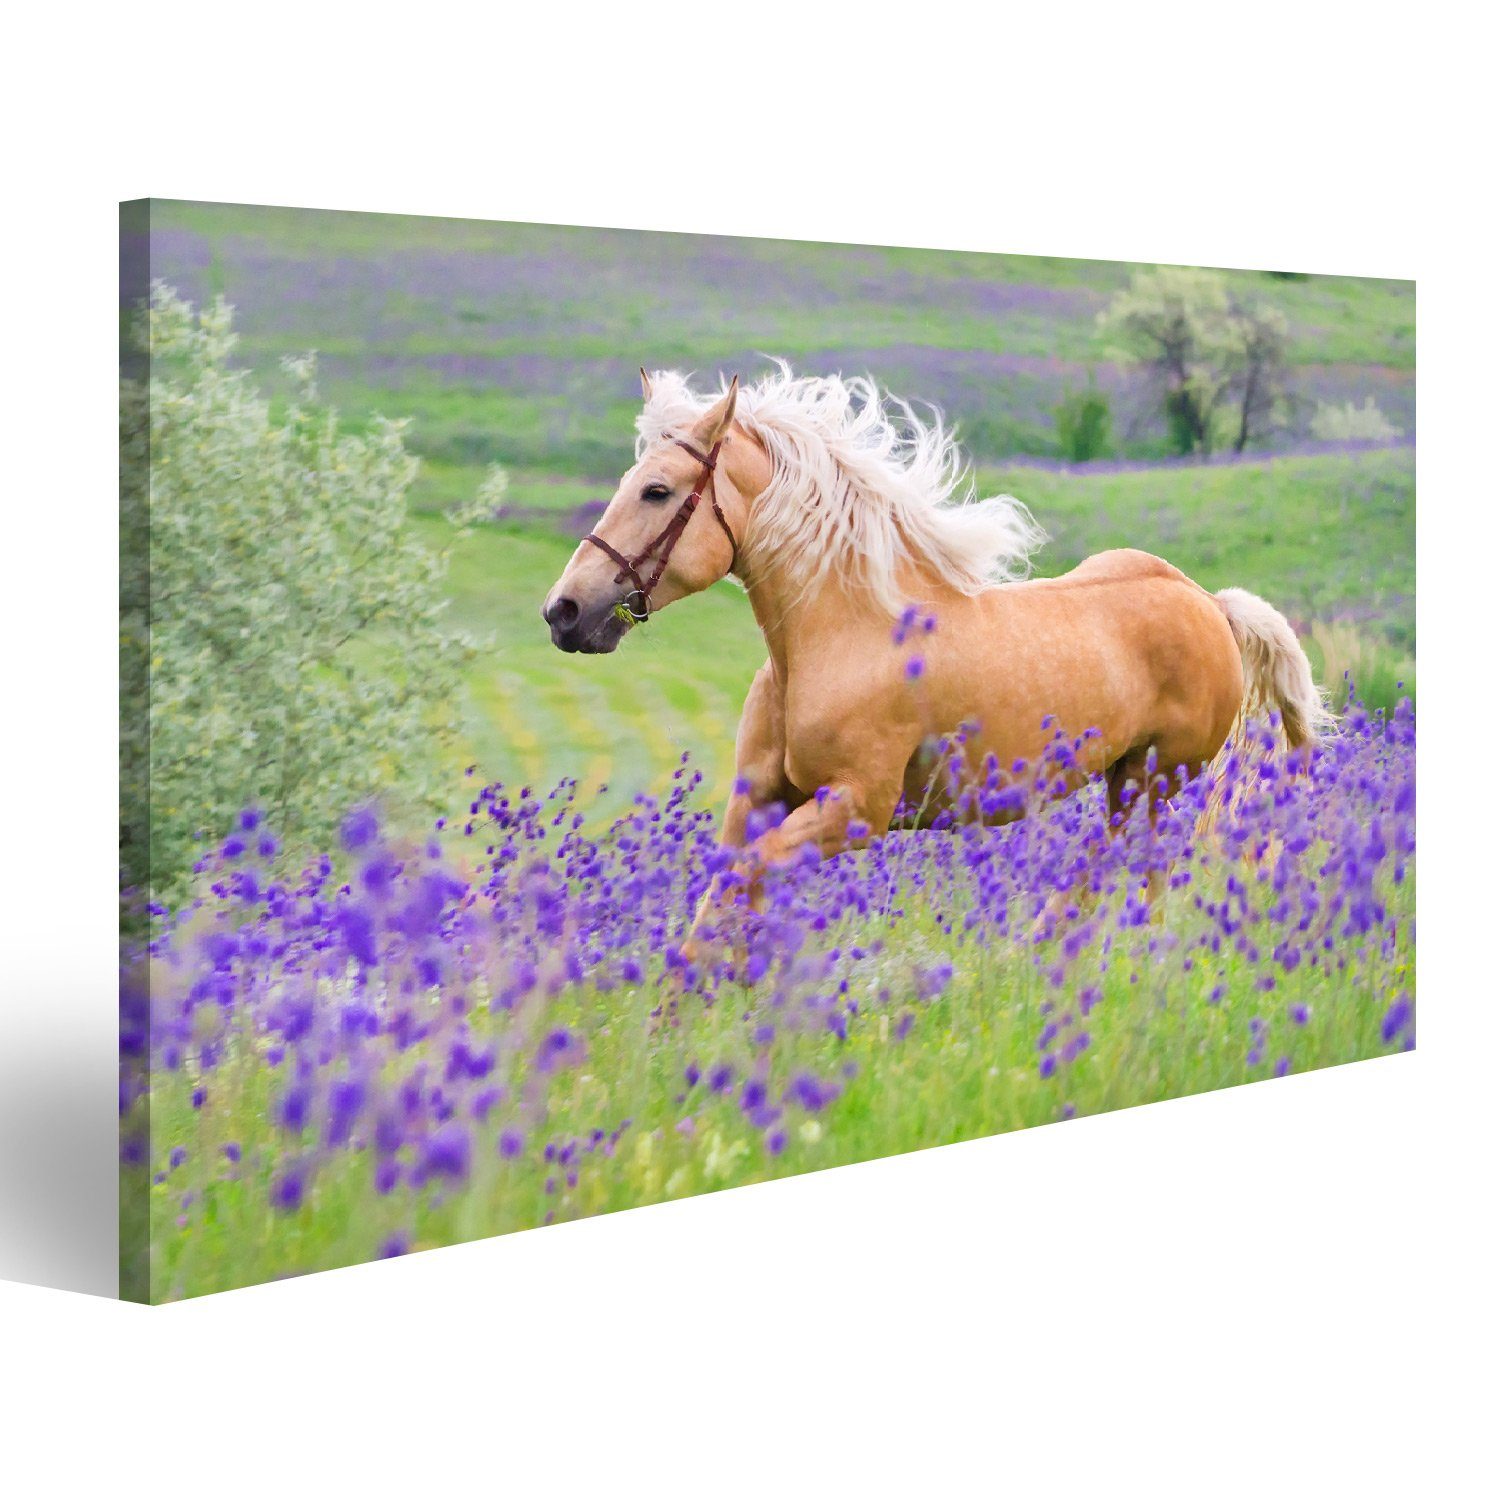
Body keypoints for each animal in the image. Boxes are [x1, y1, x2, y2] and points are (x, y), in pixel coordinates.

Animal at [541, 364, 1331, 958]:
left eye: (658, 491)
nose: (564, 612)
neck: (839, 637)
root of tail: (1210, 604)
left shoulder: (857, 808)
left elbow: (742, 892)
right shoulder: (759, 802)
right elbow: (717, 907)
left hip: (1158, 782)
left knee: (1139, 874)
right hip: (1124, 779)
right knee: (1101, 871)